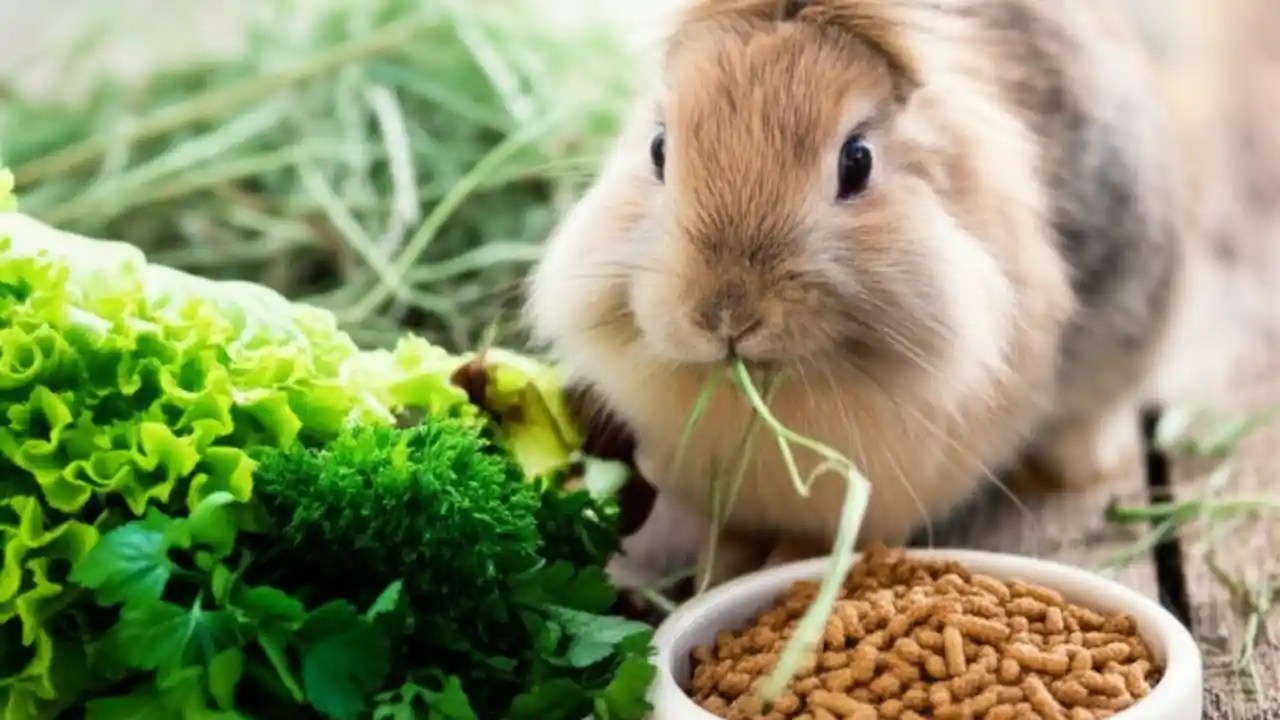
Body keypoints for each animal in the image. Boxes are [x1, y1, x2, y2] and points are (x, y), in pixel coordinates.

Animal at [527, 0, 1186, 587]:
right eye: (658, 150)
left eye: (858, 161)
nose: (725, 316)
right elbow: (728, 547)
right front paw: (714, 585)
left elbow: (808, 550)